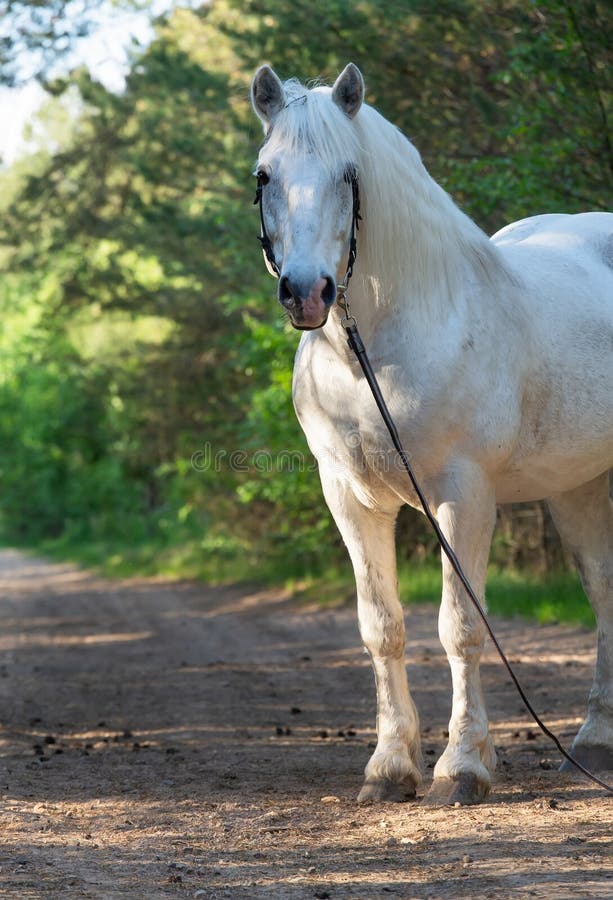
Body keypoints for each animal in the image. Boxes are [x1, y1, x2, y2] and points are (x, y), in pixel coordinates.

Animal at [251, 62, 613, 806]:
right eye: (265, 175)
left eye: (349, 175)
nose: (306, 293)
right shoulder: (350, 499)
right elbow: (381, 627)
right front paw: (390, 768)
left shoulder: (462, 496)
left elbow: (460, 626)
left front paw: (463, 767)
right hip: (578, 487)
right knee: (602, 589)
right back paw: (594, 742)